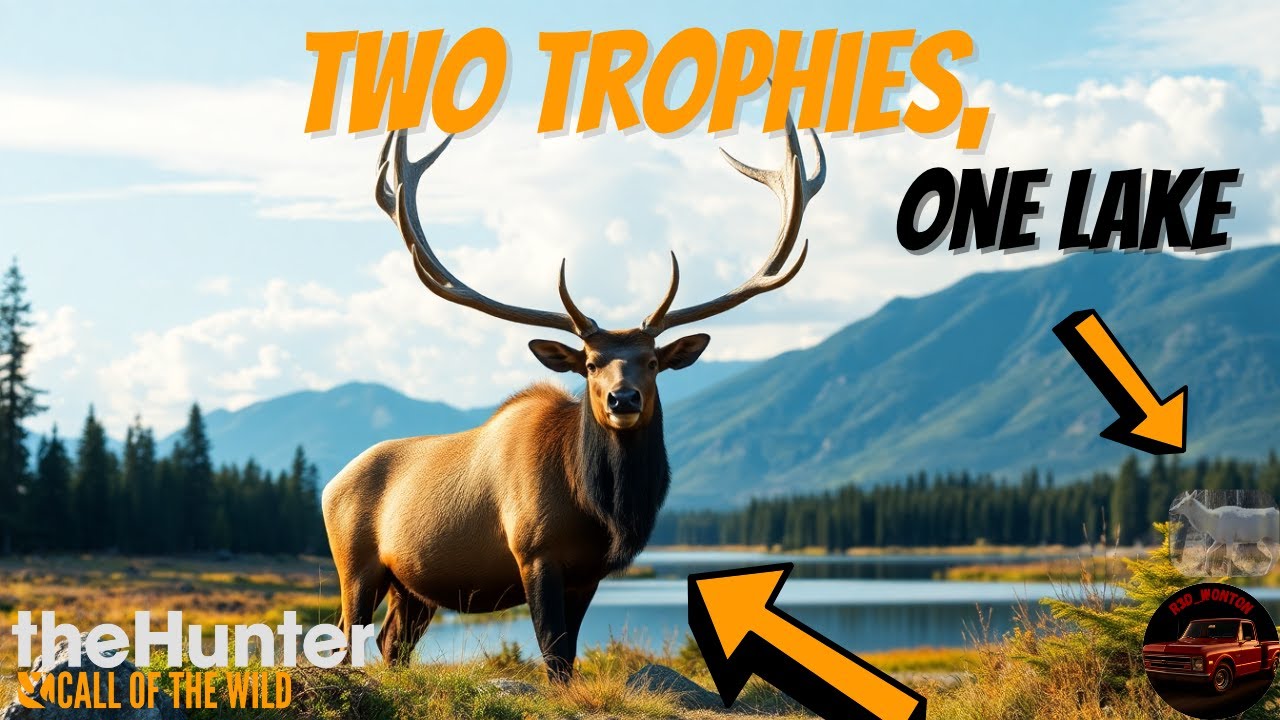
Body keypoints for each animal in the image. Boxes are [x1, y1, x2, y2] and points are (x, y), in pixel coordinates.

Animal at [321, 118, 824, 682]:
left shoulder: (589, 573)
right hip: (356, 564)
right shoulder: (534, 552)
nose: (623, 400)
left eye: (652, 361)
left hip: (413, 586)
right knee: (344, 637)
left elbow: (569, 654)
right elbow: (553, 653)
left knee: (392, 644)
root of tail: (330, 483)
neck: (598, 508)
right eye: (589, 363)